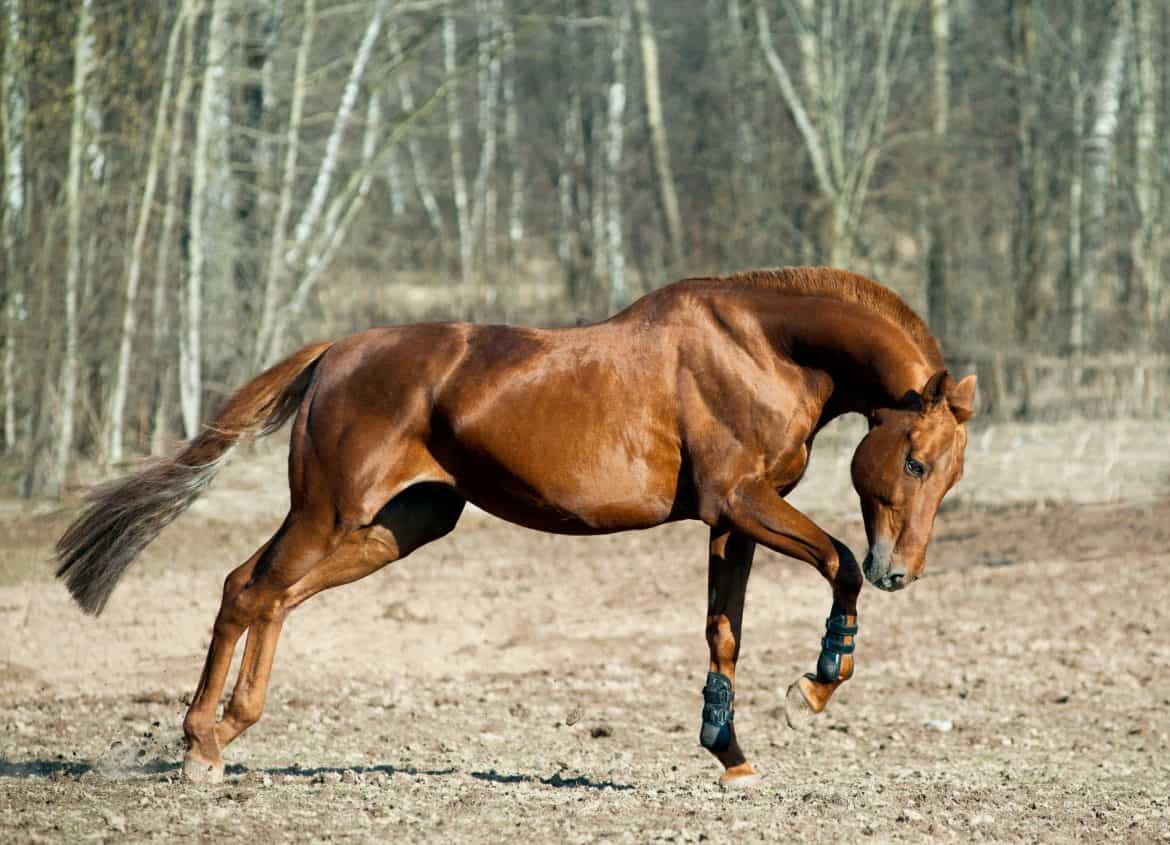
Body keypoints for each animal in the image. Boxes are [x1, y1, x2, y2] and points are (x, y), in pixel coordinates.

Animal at [55, 266, 976, 788]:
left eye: (952, 472)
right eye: (915, 461)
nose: (902, 571)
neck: (764, 344)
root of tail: (334, 355)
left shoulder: (733, 518)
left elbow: (724, 632)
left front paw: (729, 752)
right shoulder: (745, 501)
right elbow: (836, 562)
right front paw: (810, 690)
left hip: (392, 528)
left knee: (267, 593)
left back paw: (227, 729)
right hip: (329, 513)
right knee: (248, 590)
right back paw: (200, 748)